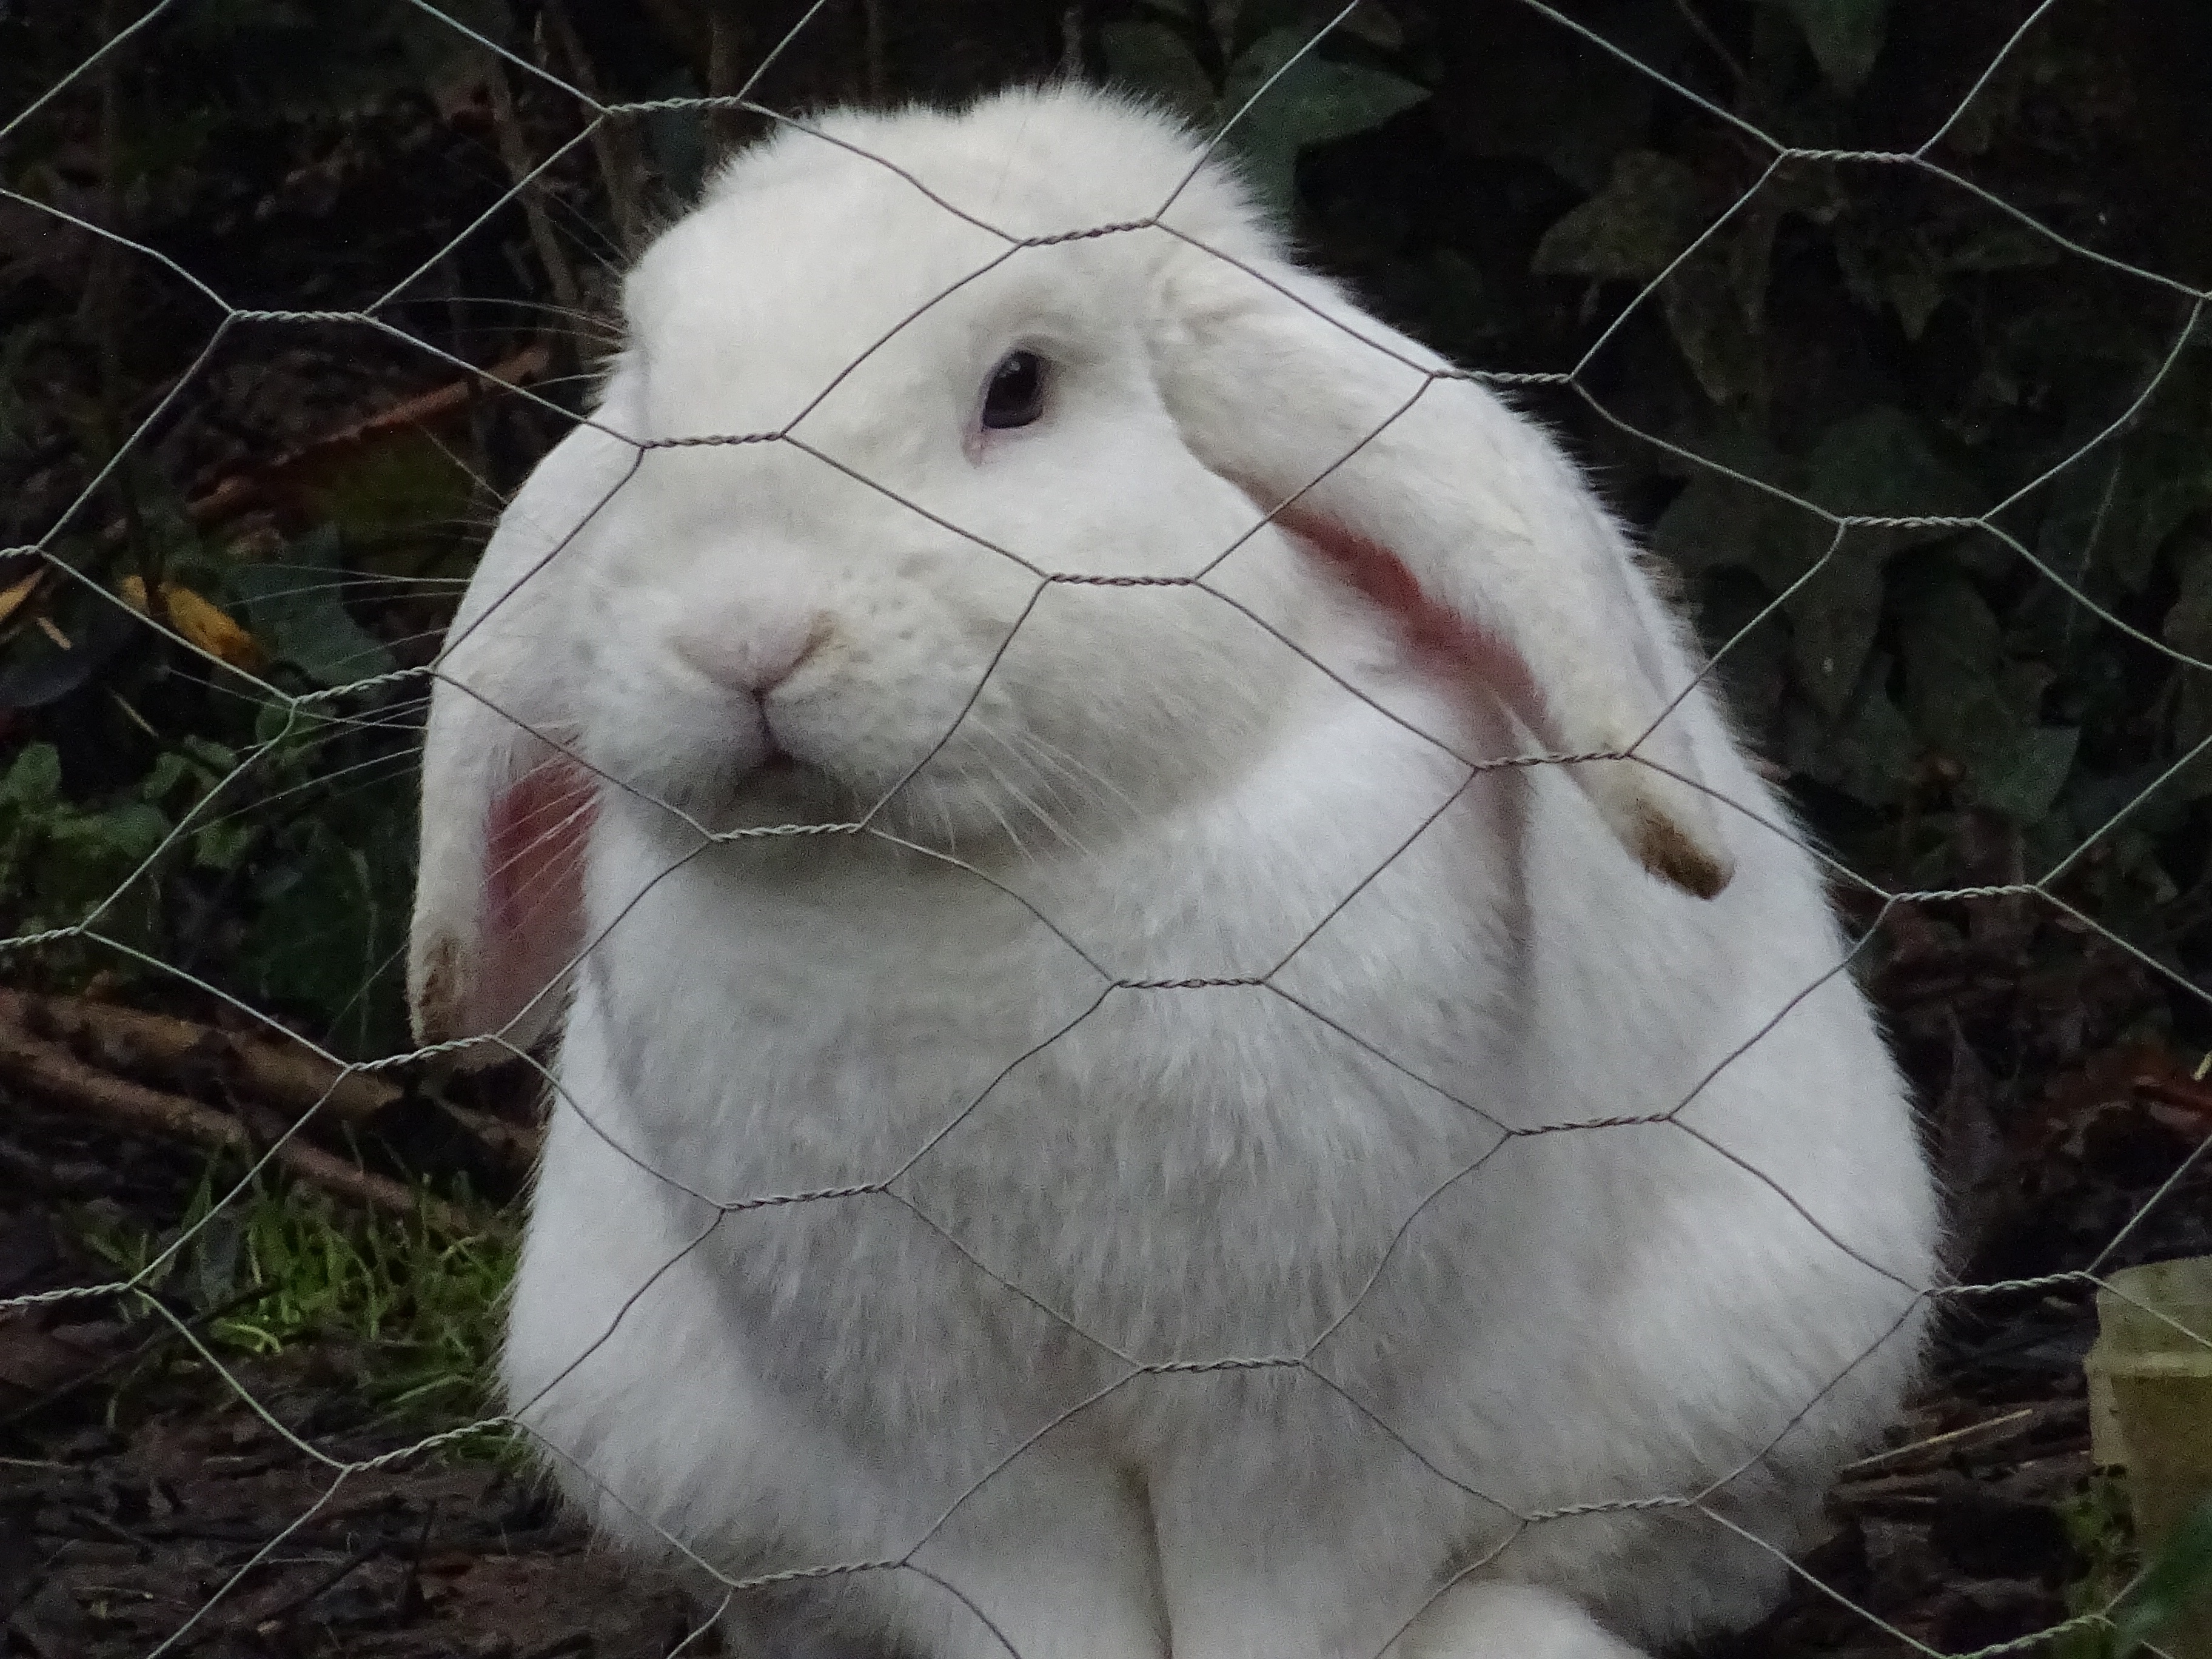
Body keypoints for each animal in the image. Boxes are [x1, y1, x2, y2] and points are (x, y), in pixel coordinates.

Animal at [408, 83, 1940, 1659]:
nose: (745, 635)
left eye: (1018, 388)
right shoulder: (934, 1425)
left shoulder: (1303, 1403)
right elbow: (1031, 1589)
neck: (976, 876)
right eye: (651, 406)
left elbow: (1286, 1593)